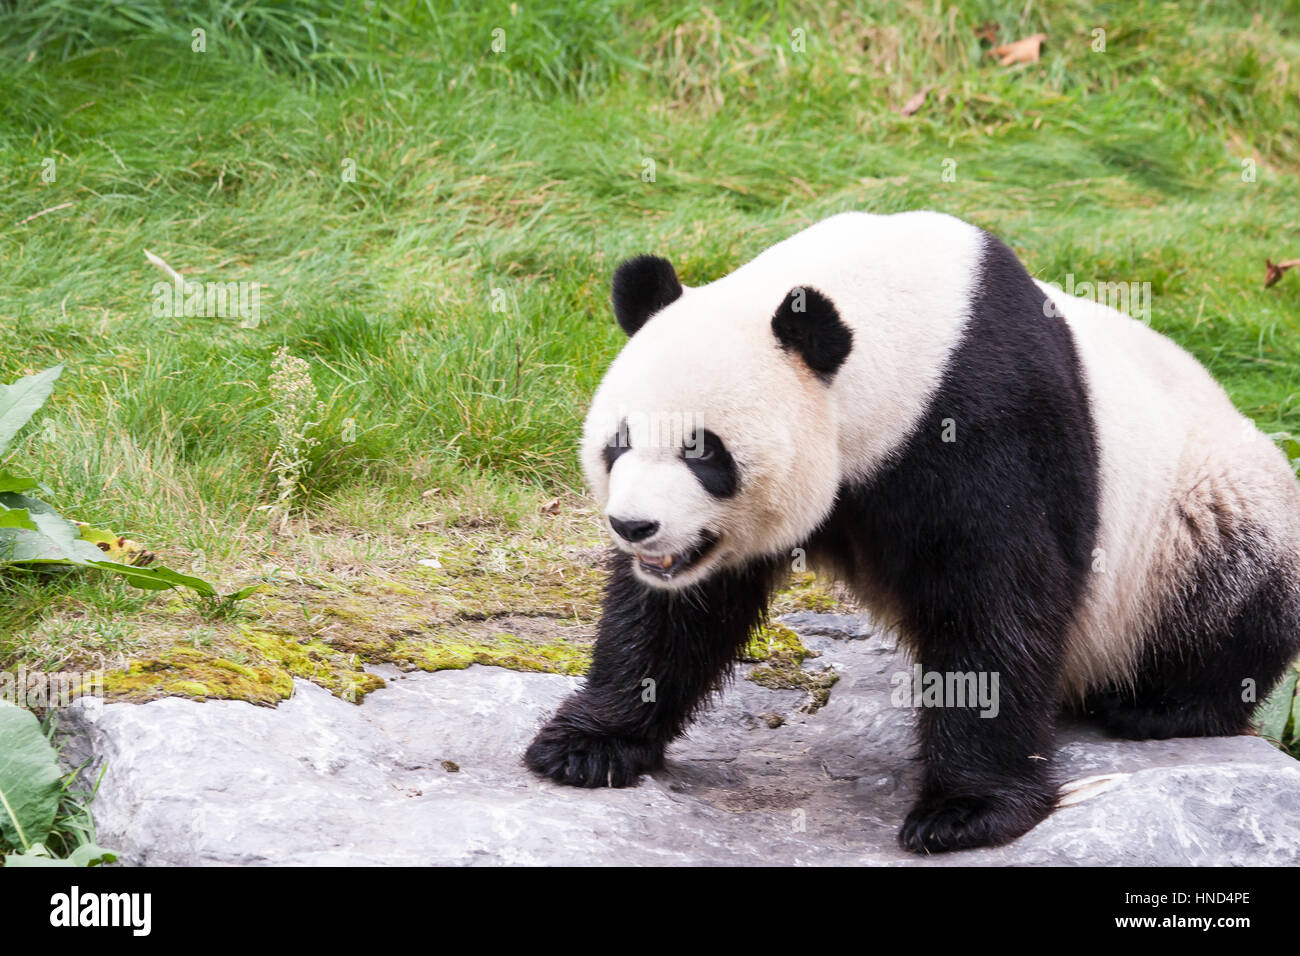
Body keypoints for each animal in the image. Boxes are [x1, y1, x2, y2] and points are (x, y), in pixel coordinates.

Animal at [524, 210, 1300, 853]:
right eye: (619, 443)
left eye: (704, 451)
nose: (634, 526)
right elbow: (679, 612)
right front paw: (587, 745)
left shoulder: (986, 418)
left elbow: (996, 602)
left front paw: (966, 813)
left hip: (1202, 505)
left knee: (1234, 586)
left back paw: (1159, 704)